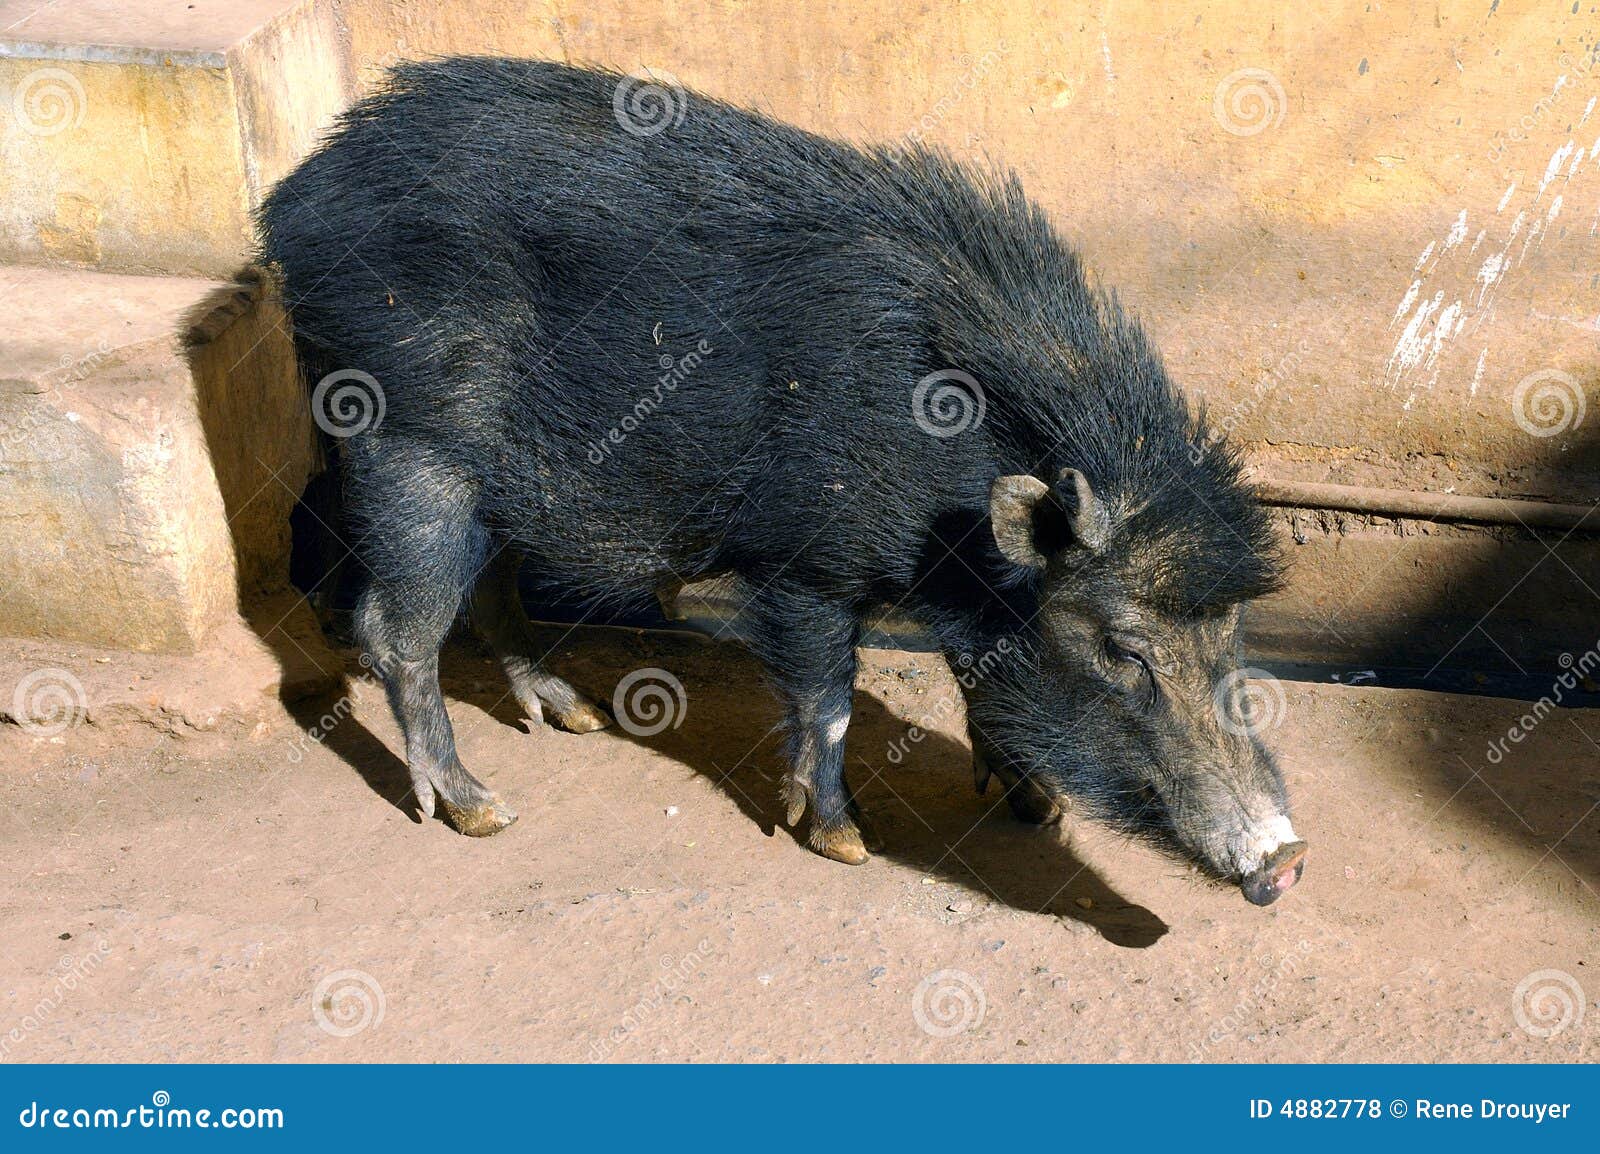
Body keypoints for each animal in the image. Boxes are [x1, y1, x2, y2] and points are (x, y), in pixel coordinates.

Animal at [258, 57, 1306, 905]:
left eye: (1231, 634)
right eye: (1123, 649)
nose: (1289, 859)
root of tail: (290, 203)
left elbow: (972, 676)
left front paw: (1036, 807)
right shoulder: (804, 565)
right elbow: (828, 698)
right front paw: (845, 844)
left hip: (500, 484)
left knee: (491, 589)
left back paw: (576, 718)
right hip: (406, 449)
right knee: (394, 631)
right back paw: (481, 811)